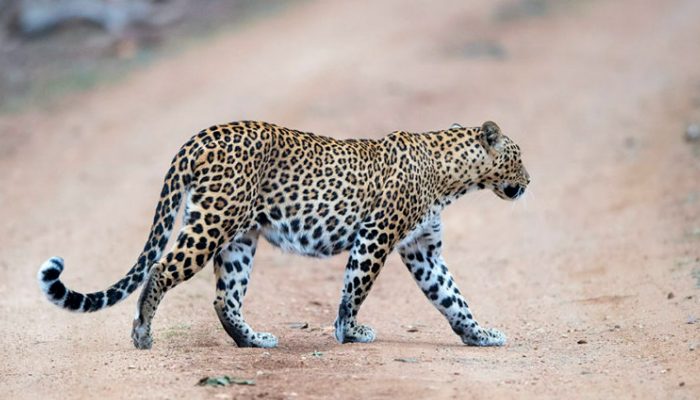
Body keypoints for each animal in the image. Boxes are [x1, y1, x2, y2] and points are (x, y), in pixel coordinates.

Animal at [38, 120, 530, 349]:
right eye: (520, 156)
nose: (529, 181)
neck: (451, 177)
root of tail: (198, 137)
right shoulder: (375, 236)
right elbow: (355, 288)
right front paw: (349, 331)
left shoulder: (422, 249)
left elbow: (452, 296)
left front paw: (479, 335)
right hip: (211, 223)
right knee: (159, 269)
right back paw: (142, 334)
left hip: (239, 239)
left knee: (224, 298)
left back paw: (252, 340)